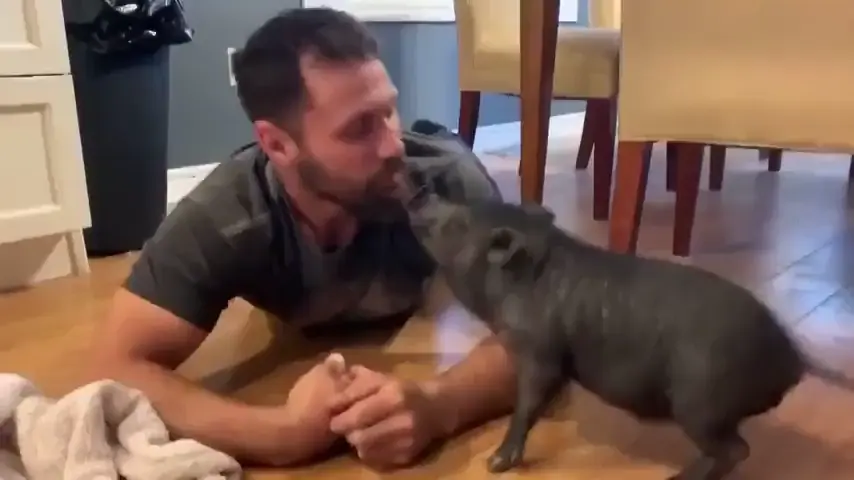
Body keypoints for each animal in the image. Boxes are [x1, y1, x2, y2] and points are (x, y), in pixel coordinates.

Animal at [405, 194, 850, 480]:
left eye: (459, 223)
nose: (422, 196)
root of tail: (792, 353)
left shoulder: (540, 351)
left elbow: (529, 402)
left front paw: (495, 465)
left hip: (699, 398)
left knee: (737, 449)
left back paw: (678, 479)